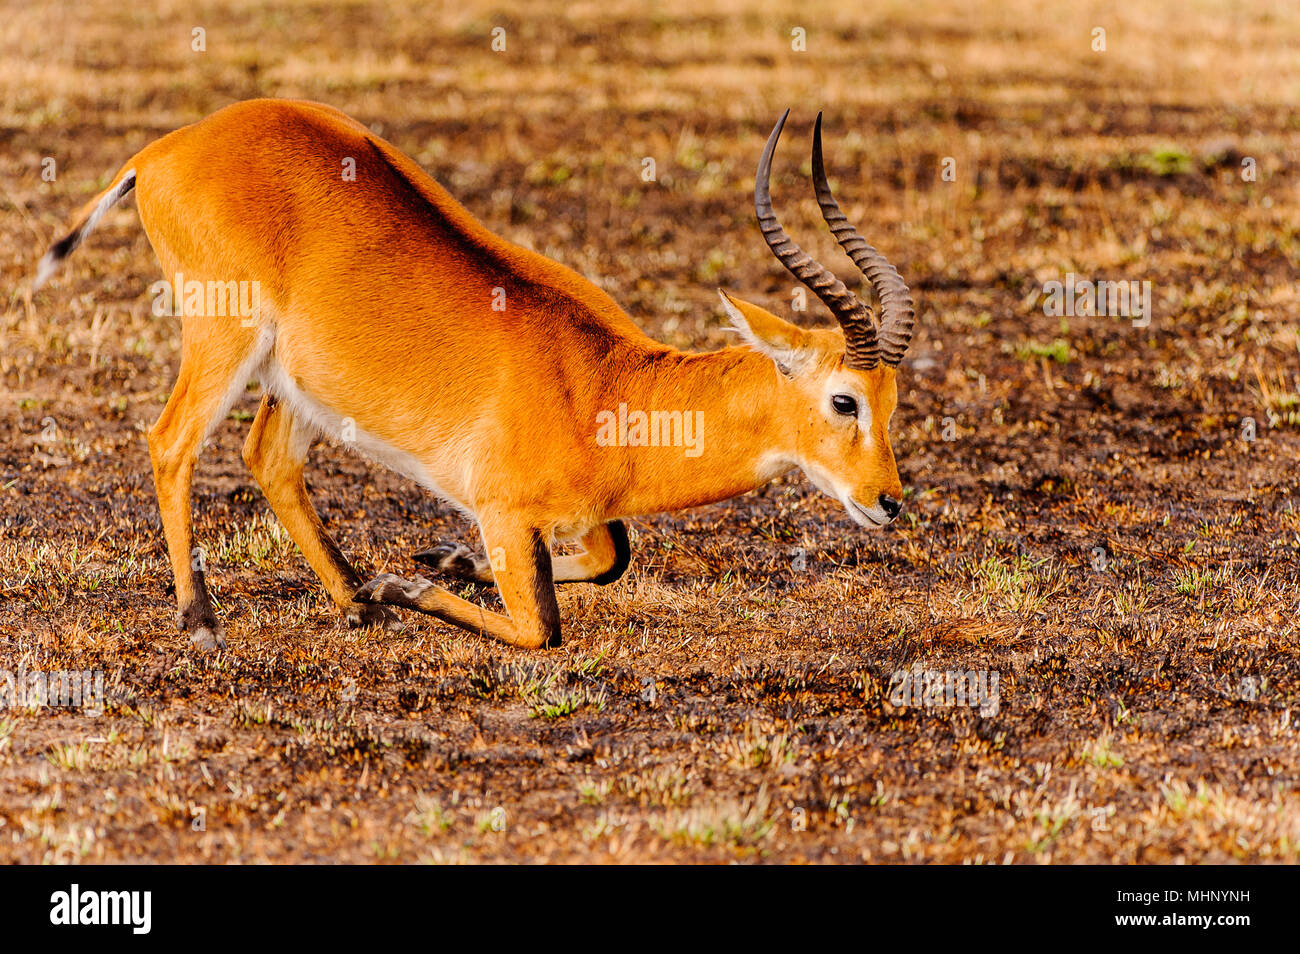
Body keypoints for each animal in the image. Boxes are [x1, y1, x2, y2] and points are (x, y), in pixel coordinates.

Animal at [34, 100, 915, 651]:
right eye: (843, 400)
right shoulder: (501, 510)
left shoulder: (569, 519)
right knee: (170, 442)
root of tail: (164, 149)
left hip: (302, 383)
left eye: (893, 404)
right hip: (225, 339)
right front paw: (407, 582)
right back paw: (206, 621)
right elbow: (545, 628)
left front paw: (434, 562)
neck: (611, 388)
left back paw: (356, 605)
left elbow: (612, 558)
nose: (889, 503)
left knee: (268, 459)